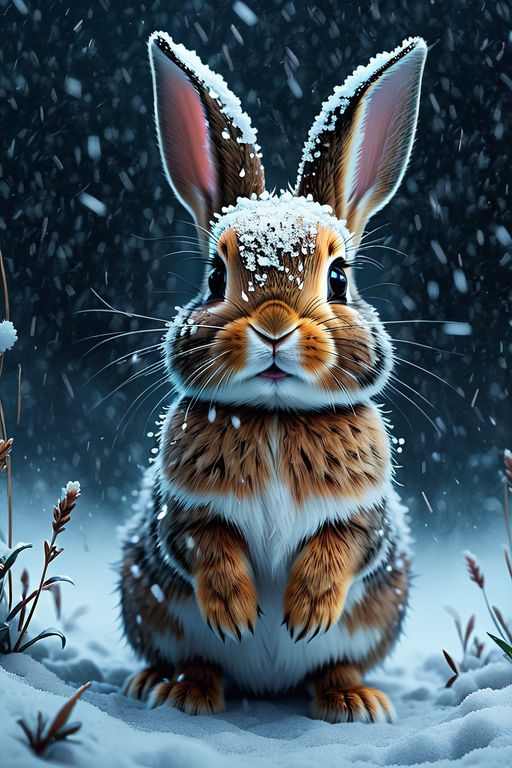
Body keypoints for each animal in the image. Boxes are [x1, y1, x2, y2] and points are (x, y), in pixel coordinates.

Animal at [120, 31, 427, 724]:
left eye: (338, 278)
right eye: (214, 277)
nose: (275, 325)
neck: (276, 418)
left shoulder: (366, 520)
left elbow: (343, 544)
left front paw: (305, 610)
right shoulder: (180, 514)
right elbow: (205, 544)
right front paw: (238, 614)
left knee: (333, 666)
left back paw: (355, 700)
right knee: (199, 661)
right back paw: (175, 690)